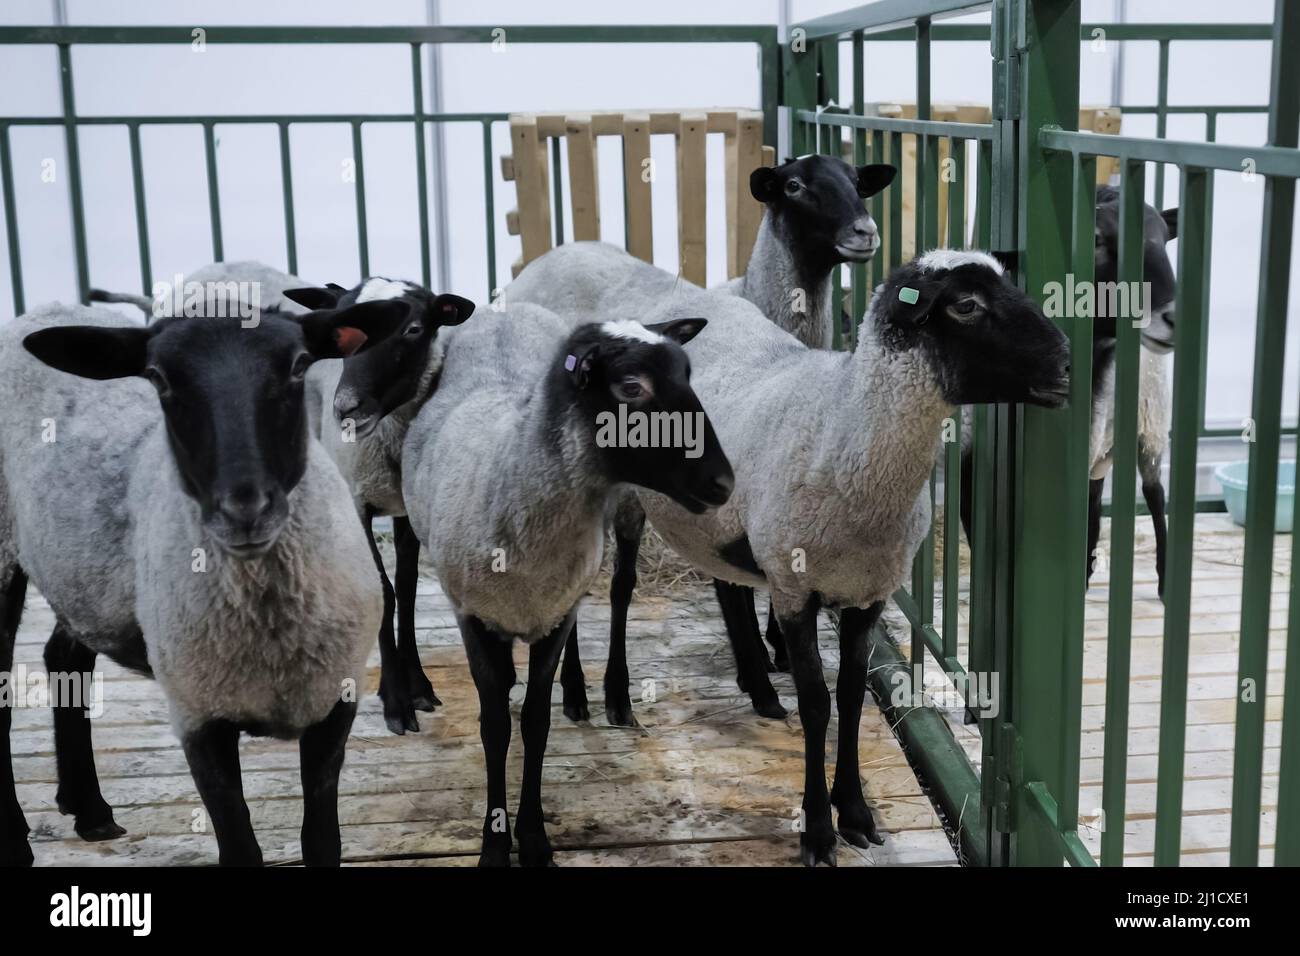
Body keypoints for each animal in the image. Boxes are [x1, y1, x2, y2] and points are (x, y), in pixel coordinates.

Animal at [0, 295, 410, 867]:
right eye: (158, 378)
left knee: (65, 656)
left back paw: (90, 810)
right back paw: (17, 836)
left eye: (299, 365)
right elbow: (240, 851)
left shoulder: (335, 702)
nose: (245, 509)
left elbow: (322, 842)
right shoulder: (198, 715)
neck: (270, 623)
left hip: (85, 578)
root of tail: (41, 309)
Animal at [400, 303, 733, 866]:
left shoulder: (554, 611)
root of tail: (506, 308)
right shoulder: (471, 614)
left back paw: (578, 691)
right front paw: (495, 844)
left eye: (688, 375)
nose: (724, 484)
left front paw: (533, 839)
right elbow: (495, 726)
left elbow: (536, 722)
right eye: (630, 387)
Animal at [502, 240, 1070, 865]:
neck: (844, 428)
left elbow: (850, 697)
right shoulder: (795, 589)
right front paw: (819, 829)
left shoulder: (868, 592)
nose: (1066, 366)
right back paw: (598, 693)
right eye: (966, 305)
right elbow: (817, 704)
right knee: (617, 587)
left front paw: (857, 813)